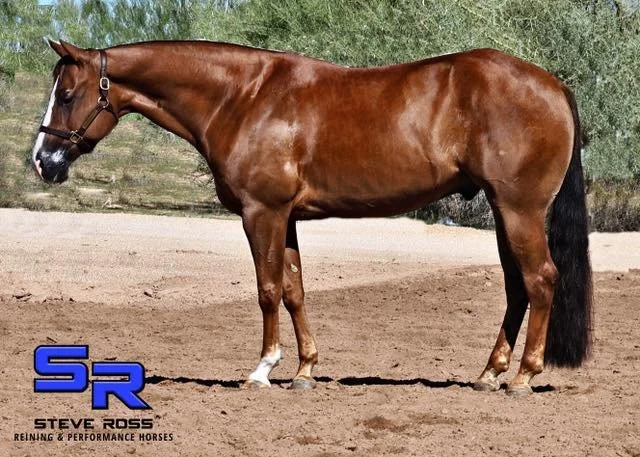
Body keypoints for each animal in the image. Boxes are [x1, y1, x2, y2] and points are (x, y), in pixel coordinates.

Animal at [31, 39, 592, 396]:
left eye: (67, 94)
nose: (43, 162)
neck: (244, 97)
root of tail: (553, 86)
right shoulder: (288, 218)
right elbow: (294, 289)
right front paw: (304, 370)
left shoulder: (262, 213)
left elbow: (266, 290)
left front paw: (262, 370)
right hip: (503, 211)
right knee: (517, 288)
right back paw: (489, 374)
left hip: (520, 210)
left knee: (541, 280)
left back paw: (522, 378)